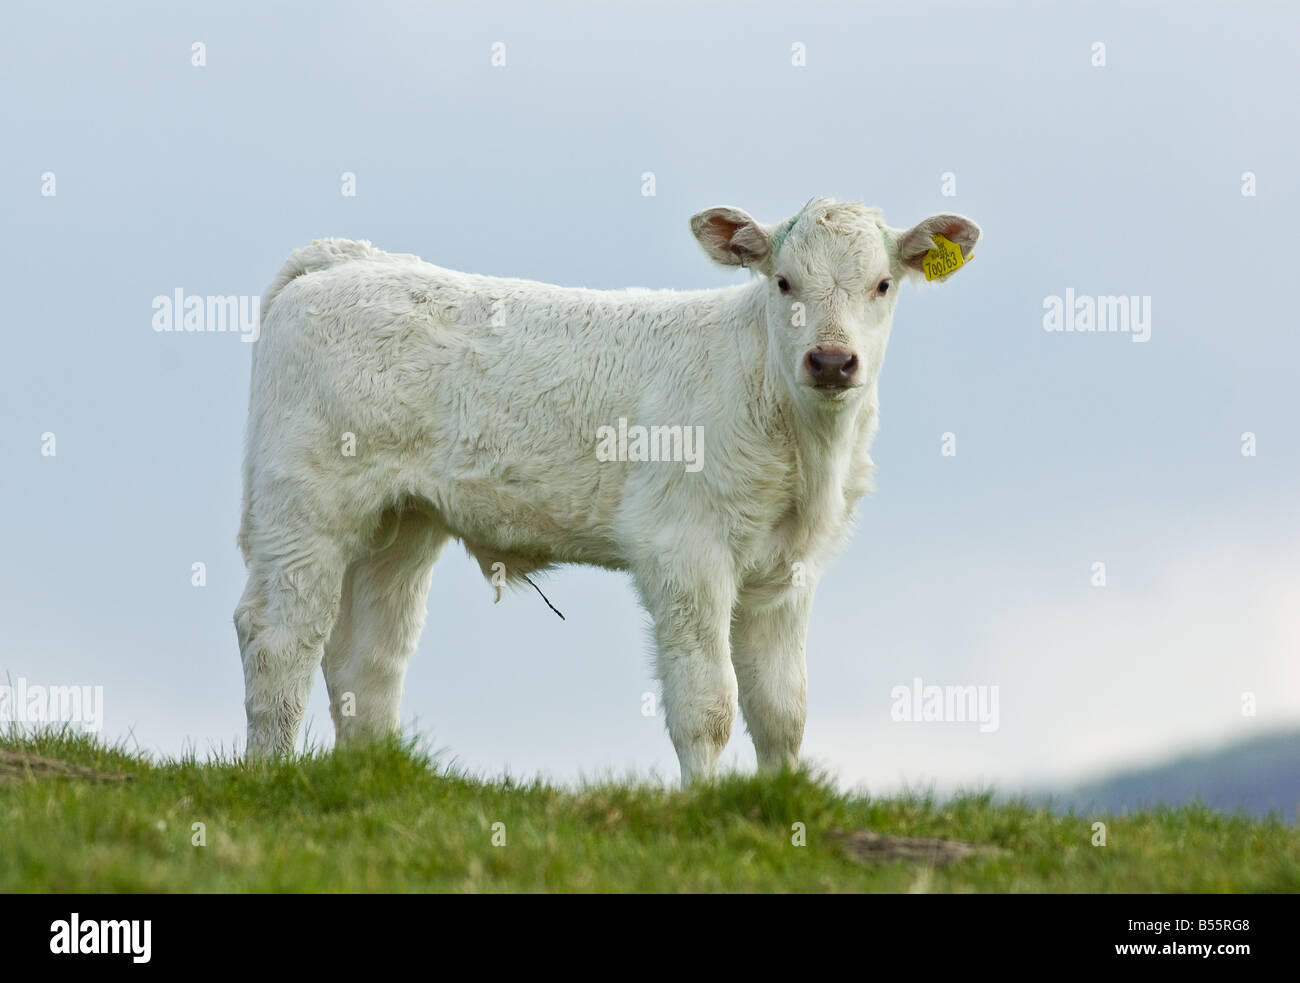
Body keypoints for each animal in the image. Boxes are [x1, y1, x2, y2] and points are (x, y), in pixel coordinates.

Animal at [234, 198, 981, 783]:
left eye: (882, 284)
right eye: (783, 281)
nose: (830, 361)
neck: (804, 451)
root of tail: (345, 260)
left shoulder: (789, 572)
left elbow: (781, 709)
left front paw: (780, 804)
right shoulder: (685, 551)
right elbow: (707, 704)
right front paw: (705, 804)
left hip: (402, 519)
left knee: (366, 659)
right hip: (303, 503)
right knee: (279, 637)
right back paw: (270, 778)